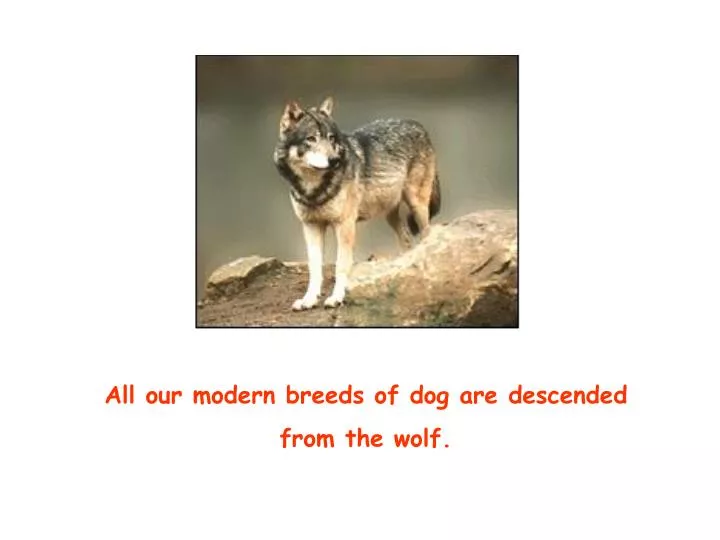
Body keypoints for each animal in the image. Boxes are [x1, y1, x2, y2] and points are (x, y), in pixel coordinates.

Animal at [273, 97, 441, 311]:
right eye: (311, 139)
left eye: (331, 138)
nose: (334, 160)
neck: (314, 190)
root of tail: (417, 124)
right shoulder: (311, 226)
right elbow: (314, 267)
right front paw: (309, 299)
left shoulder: (344, 226)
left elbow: (341, 265)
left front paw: (337, 297)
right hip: (390, 215)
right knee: (406, 240)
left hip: (416, 205)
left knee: (426, 234)